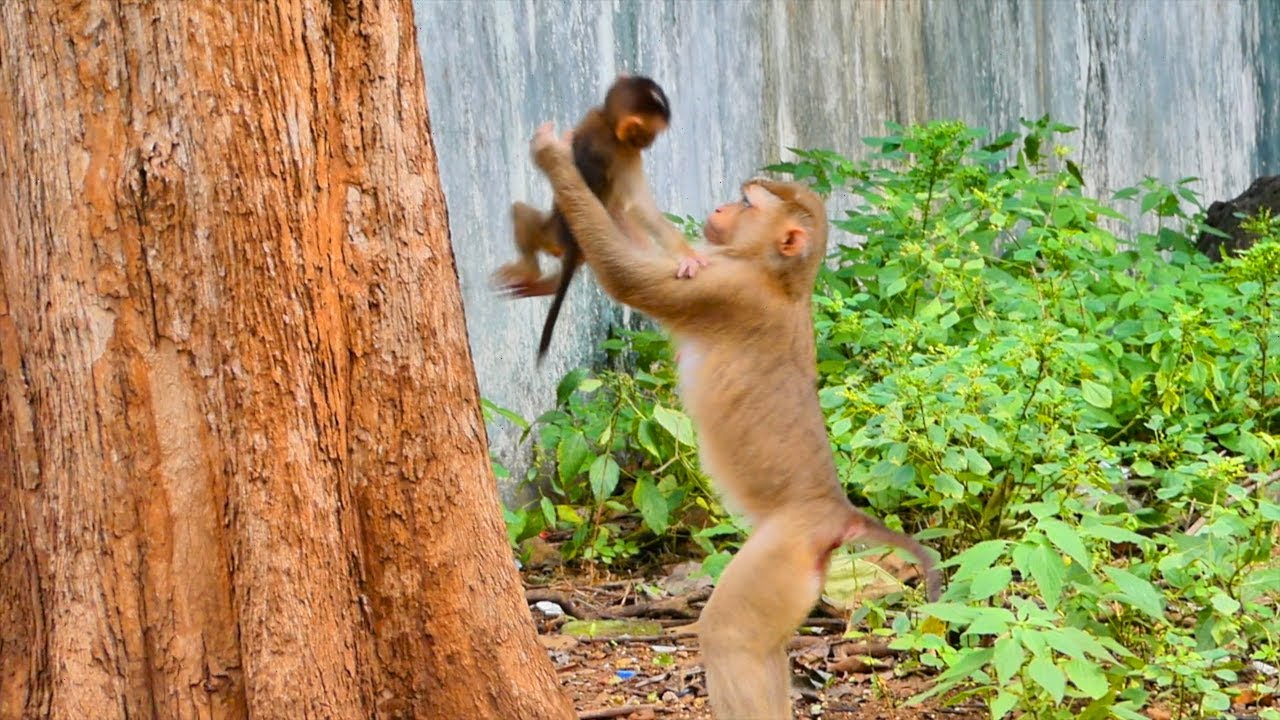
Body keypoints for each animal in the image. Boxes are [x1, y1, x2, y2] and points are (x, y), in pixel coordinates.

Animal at [492, 75, 708, 362]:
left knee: (522, 213)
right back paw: (537, 276)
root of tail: (570, 245)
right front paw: (686, 254)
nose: (650, 144)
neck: (607, 121)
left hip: (556, 236)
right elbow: (637, 207)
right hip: (559, 235)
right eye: (651, 134)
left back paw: (540, 278)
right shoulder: (625, 151)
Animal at [527, 123, 942, 719]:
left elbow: (628, 279)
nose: (723, 205)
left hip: (780, 555)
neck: (779, 278)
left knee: (731, 636)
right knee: (765, 646)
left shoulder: (725, 289)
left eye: (748, 204)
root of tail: (836, 515)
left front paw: (555, 160)